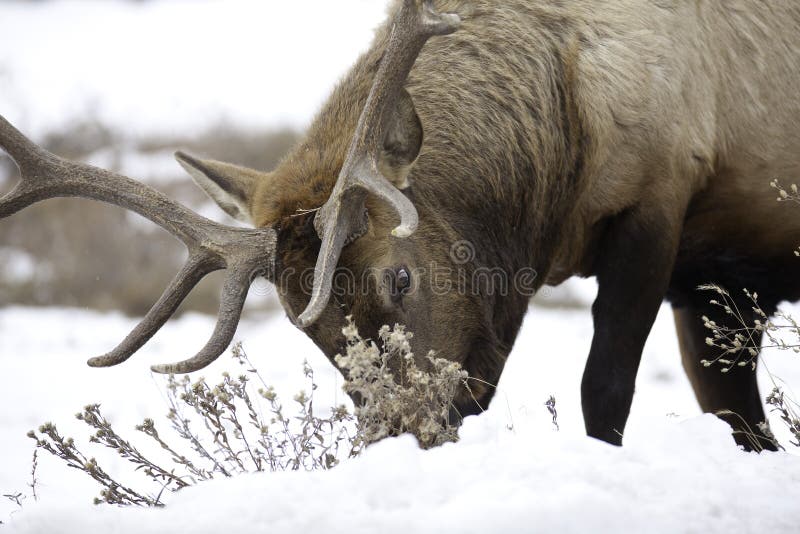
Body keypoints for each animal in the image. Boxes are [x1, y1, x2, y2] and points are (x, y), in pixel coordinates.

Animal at [2, 0, 799, 451]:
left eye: (402, 274)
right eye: (302, 323)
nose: (404, 429)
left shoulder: (658, 204)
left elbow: (604, 394)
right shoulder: (712, 279)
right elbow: (736, 418)